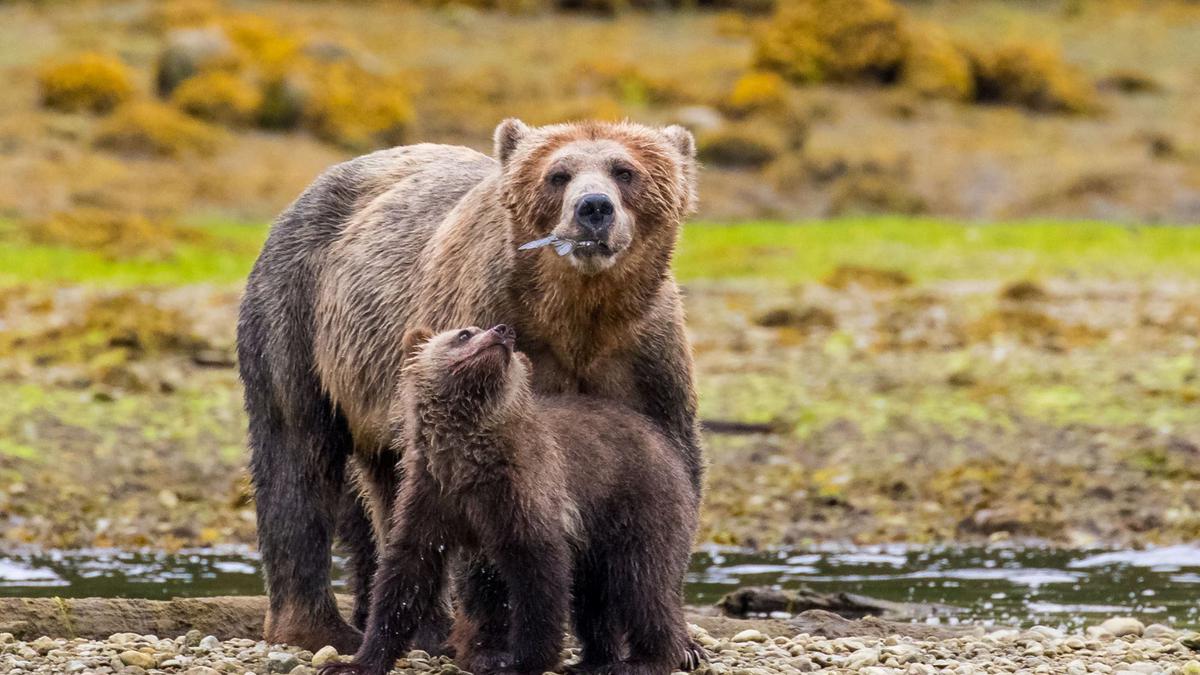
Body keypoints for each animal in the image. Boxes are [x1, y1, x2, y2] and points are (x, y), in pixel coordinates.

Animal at [321, 324, 701, 675]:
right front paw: (355, 661)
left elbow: (539, 581)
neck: (465, 458)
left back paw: (647, 659)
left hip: (639, 503)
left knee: (641, 582)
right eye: (463, 333)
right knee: (595, 598)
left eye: (510, 342)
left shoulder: (522, 496)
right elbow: (405, 576)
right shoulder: (431, 497)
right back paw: (593, 660)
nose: (503, 331)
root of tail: (662, 439)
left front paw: (523, 661)